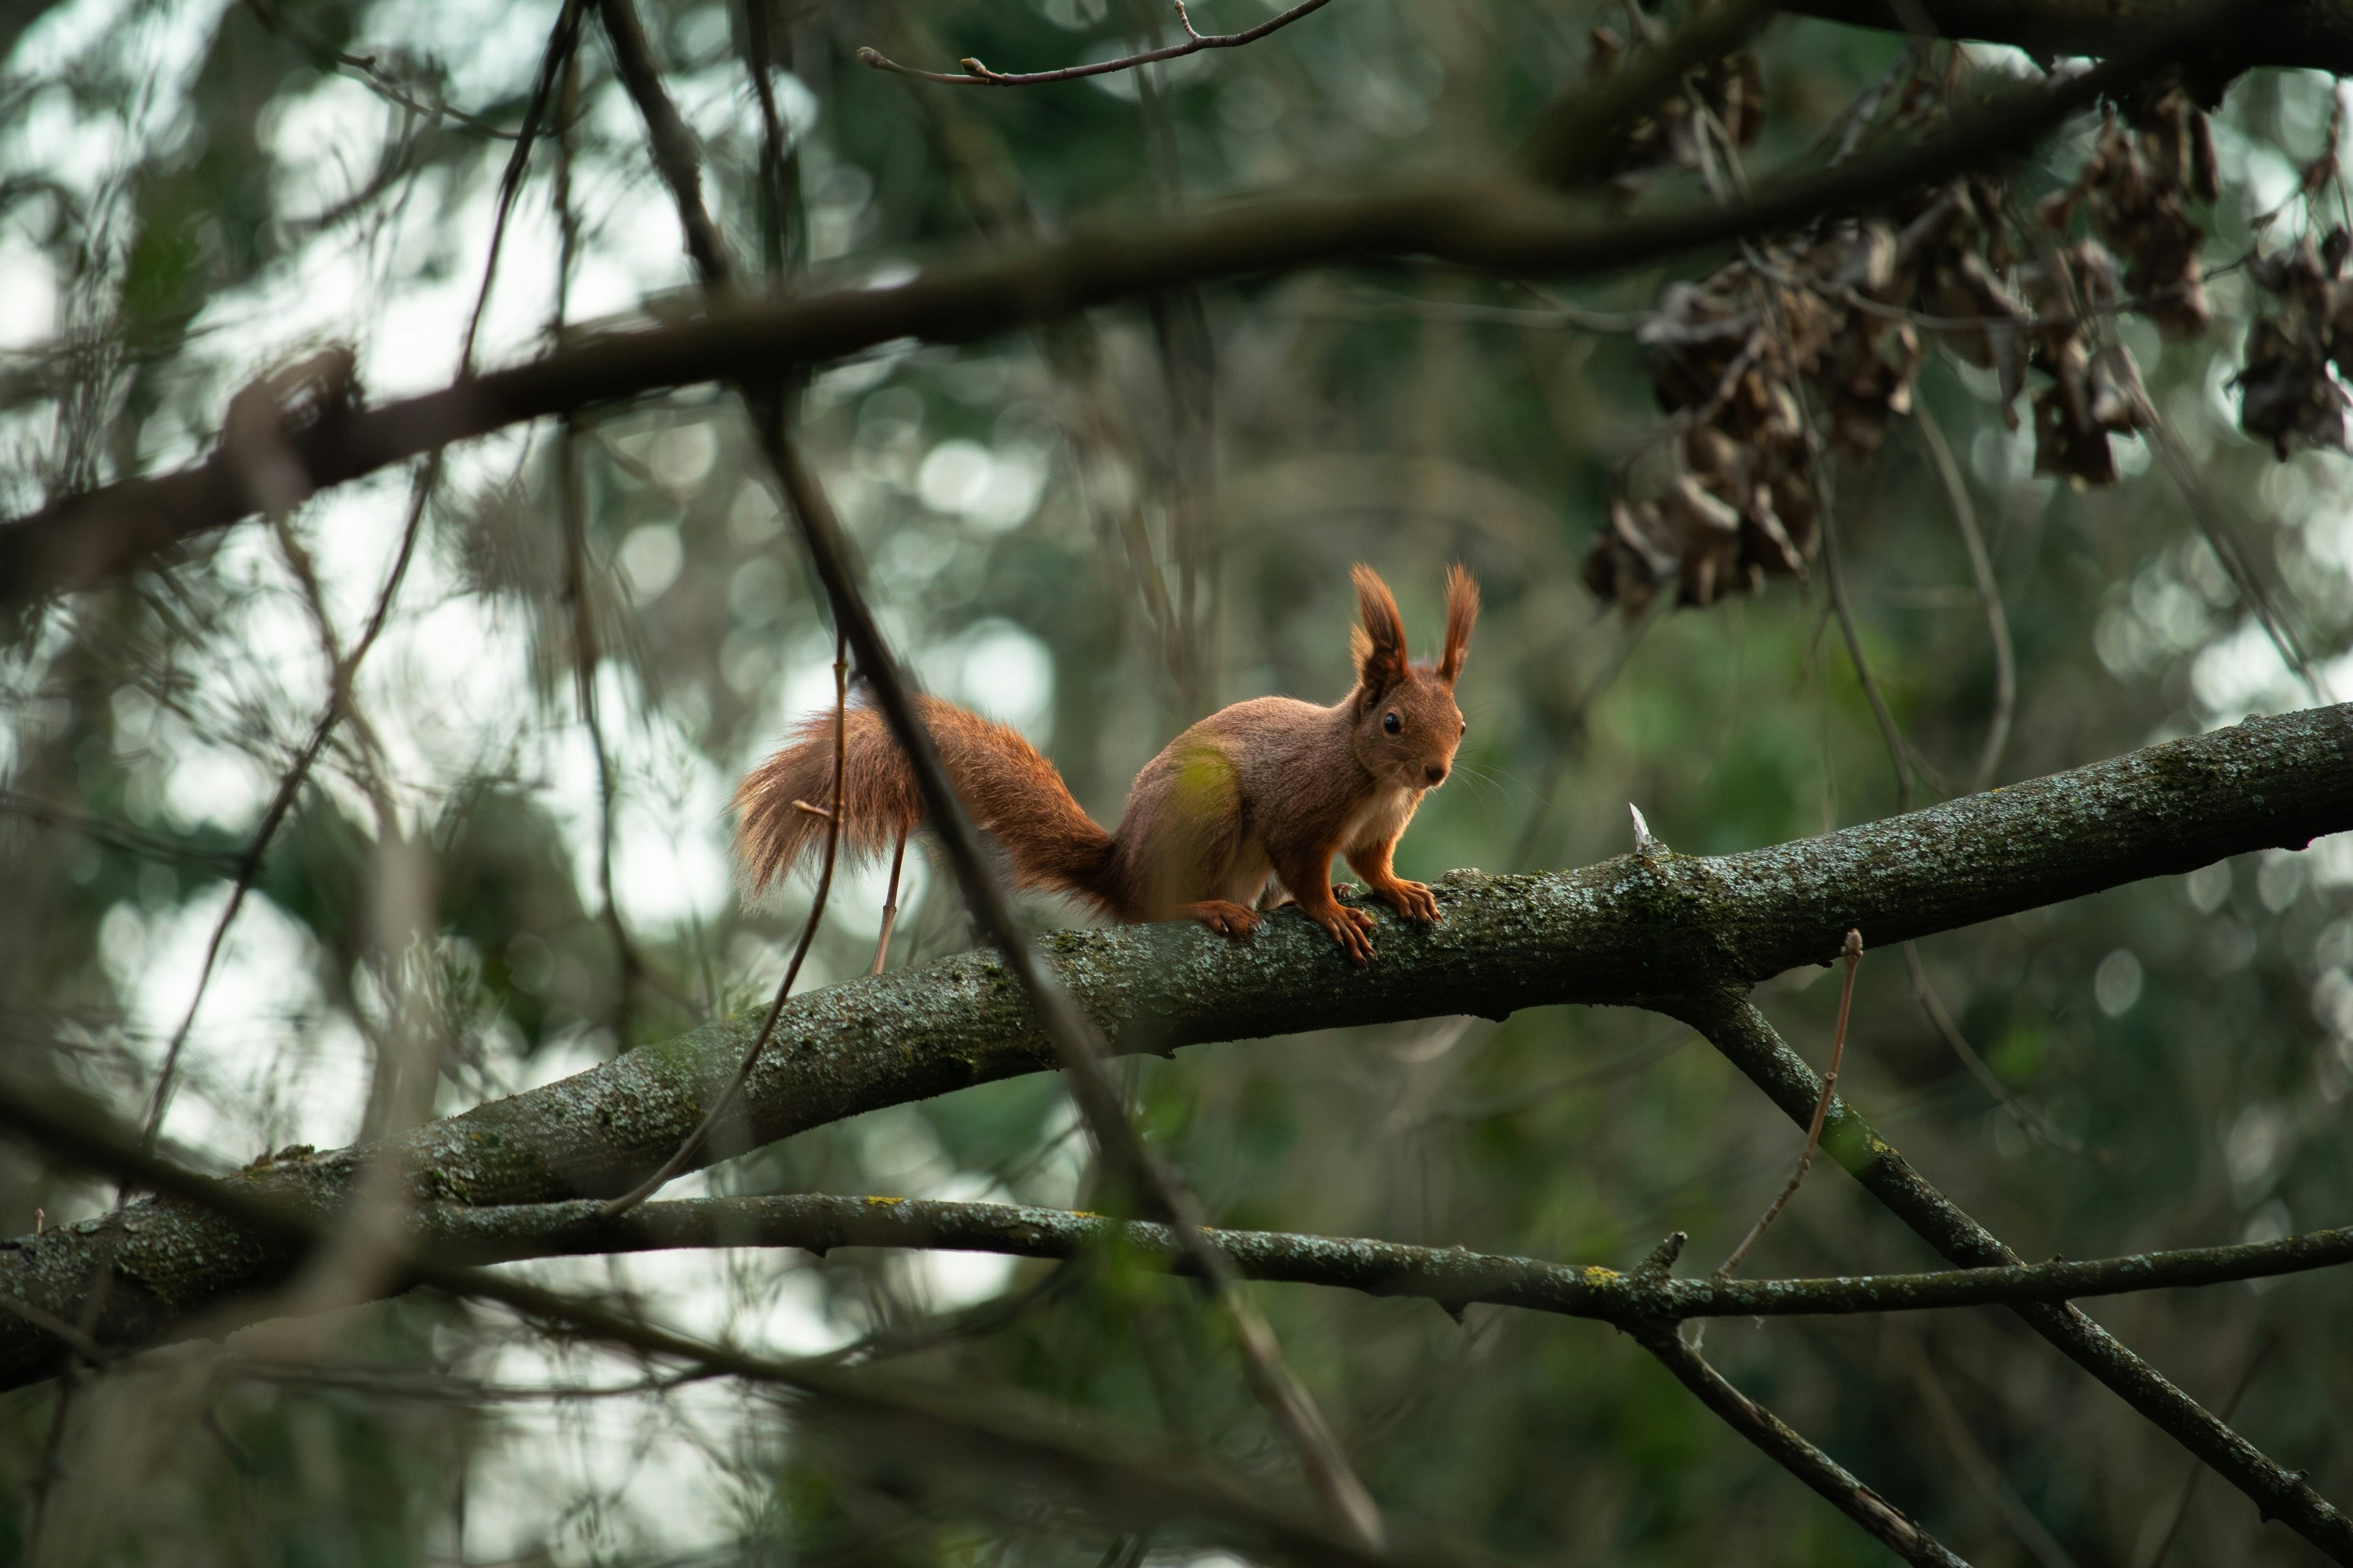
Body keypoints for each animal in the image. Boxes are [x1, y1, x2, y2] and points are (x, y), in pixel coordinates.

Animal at [734, 563, 1478, 963]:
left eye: (1461, 725)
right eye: (1392, 723)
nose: (1436, 773)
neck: (1374, 780)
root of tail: (1120, 865)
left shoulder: (1380, 825)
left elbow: (1371, 862)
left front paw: (1395, 890)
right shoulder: (1302, 807)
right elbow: (1303, 862)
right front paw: (1329, 911)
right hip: (1205, 809)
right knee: (1151, 907)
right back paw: (1210, 909)